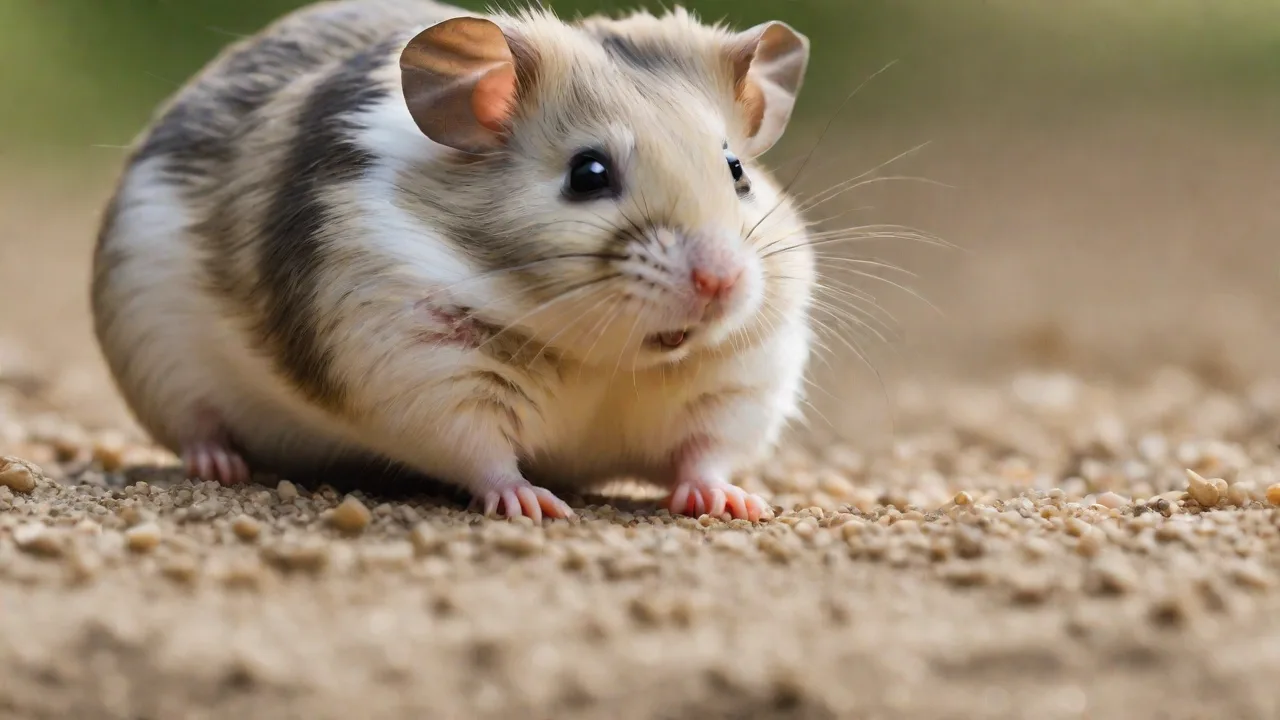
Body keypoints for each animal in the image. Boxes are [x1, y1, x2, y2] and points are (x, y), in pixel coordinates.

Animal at [91, 0, 817, 522]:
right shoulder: (425, 373)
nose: (722, 280)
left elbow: (708, 454)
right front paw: (534, 504)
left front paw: (736, 503)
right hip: (159, 366)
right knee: (195, 427)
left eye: (736, 169)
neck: (607, 361)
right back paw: (220, 464)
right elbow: (484, 455)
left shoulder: (744, 380)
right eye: (588, 174)